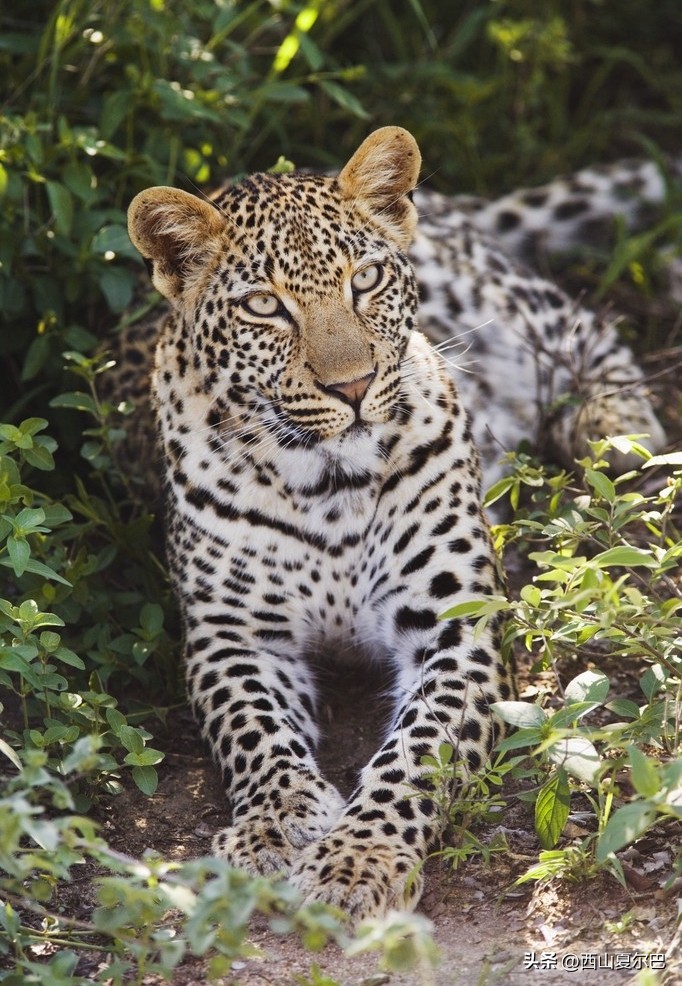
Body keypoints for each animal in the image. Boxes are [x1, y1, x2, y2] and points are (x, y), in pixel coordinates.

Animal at [123, 126, 667, 924]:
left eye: (367, 278)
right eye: (265, 307)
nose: (352, 386)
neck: (330, 484)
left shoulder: (457, 626)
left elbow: (418, 753)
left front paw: (360, 859)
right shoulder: (232, 635)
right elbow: (252, 728)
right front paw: (276, 822)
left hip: (515, 312)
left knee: (586, 331)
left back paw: (623, 439)